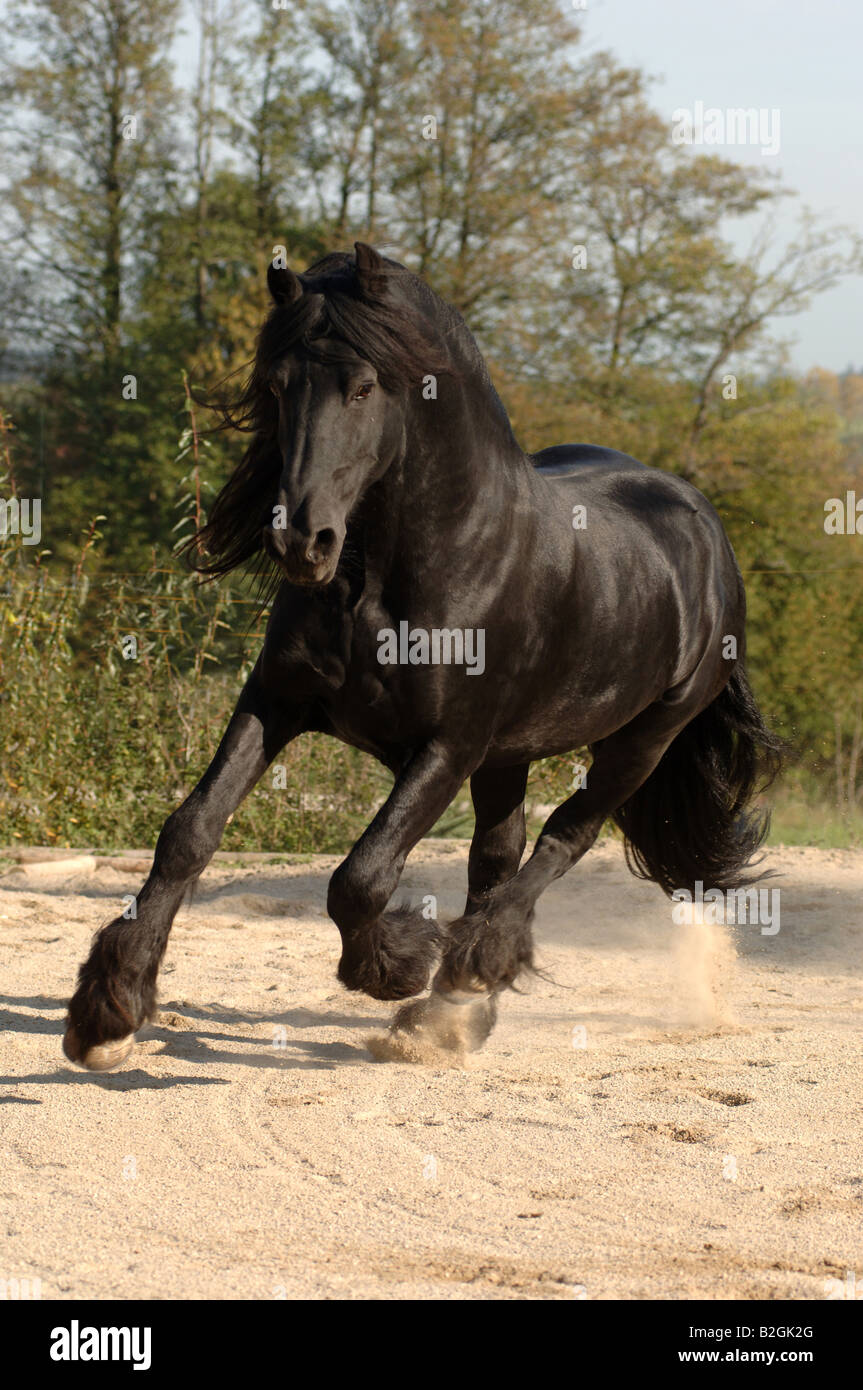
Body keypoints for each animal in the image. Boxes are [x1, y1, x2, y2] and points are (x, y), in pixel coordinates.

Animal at [63, 242, 781, 1071]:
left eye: (363, 385)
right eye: (276, 386)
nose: (299, 541)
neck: (401, 576)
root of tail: (703, 526)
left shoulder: (448, 745)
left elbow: (361, 876)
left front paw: (400, 961)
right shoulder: (276, 702)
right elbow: (189, 831)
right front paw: (108, 1012)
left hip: (641, 740)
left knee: (563, 837)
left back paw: (470, 969)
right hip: (512, 753)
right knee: (498, 855)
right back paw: (456, 1009)